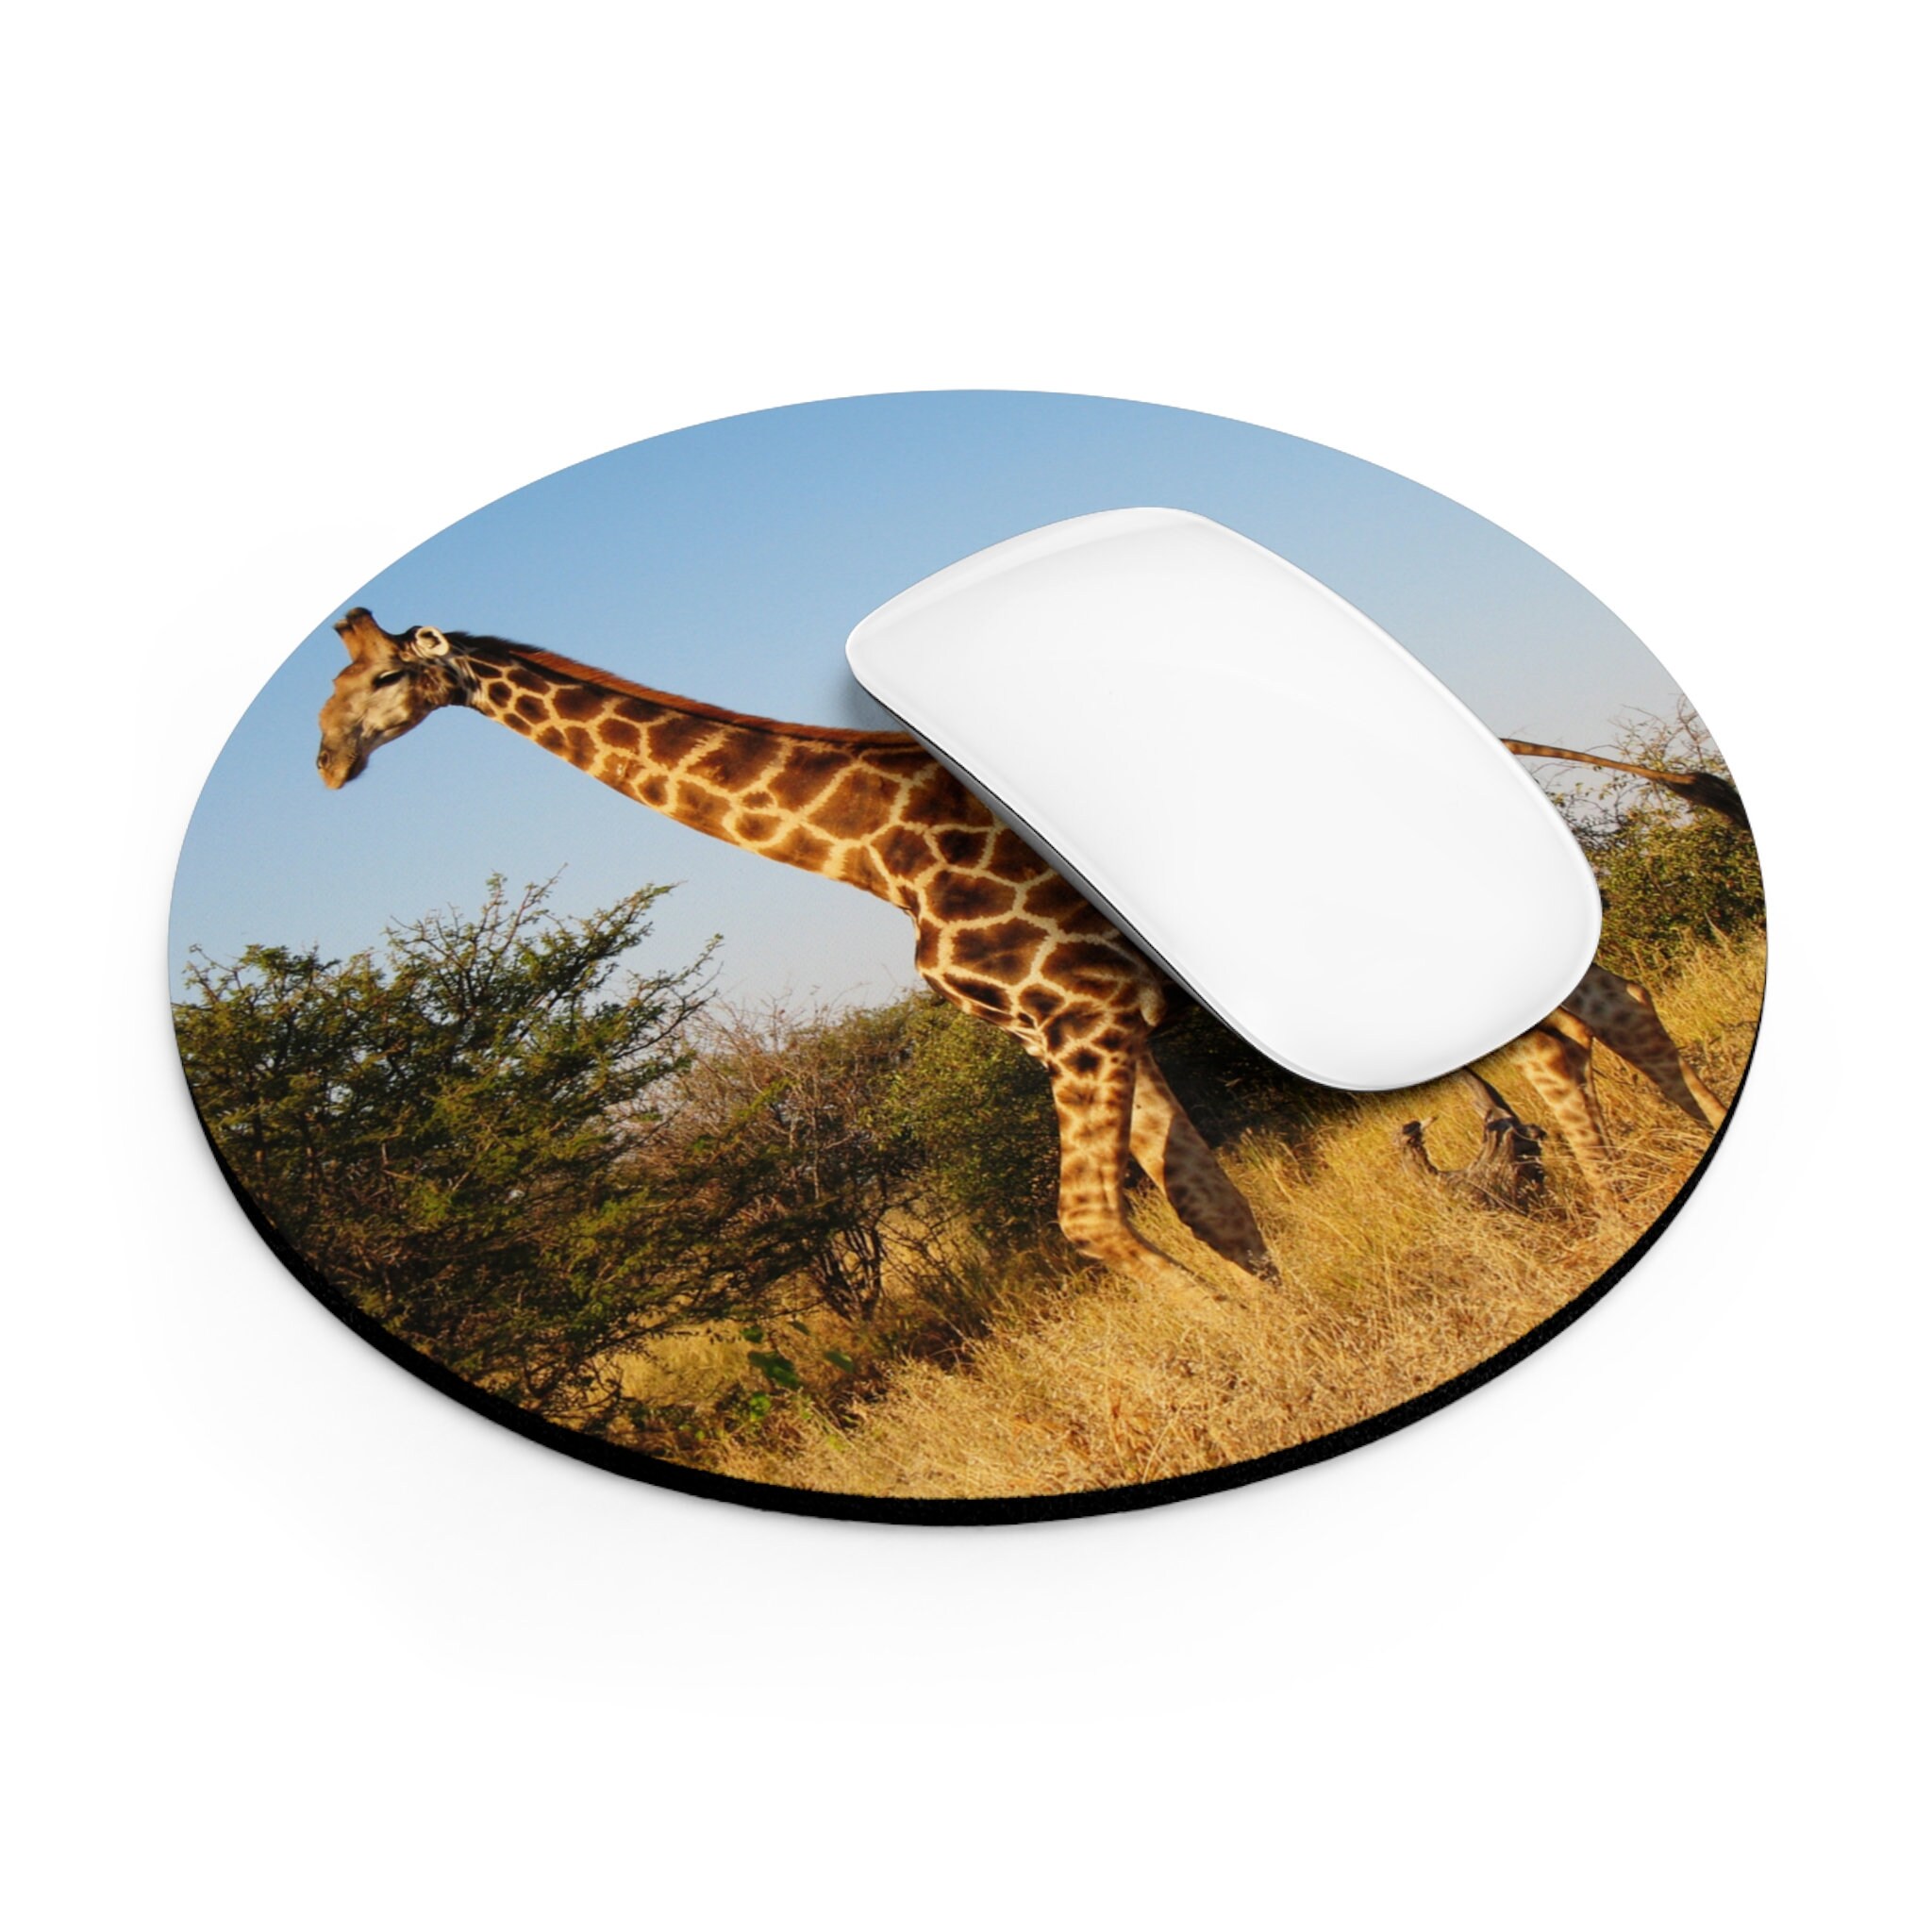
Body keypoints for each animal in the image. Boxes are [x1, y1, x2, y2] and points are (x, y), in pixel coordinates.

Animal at [317, 609, 1276, 1299]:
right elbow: (1211, 1204)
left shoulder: (1084, 1014)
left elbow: (1093, 1222)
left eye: (385, 674)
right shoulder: (1074, 1027)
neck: (876, 853)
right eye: (331, 686)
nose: (328, 761)